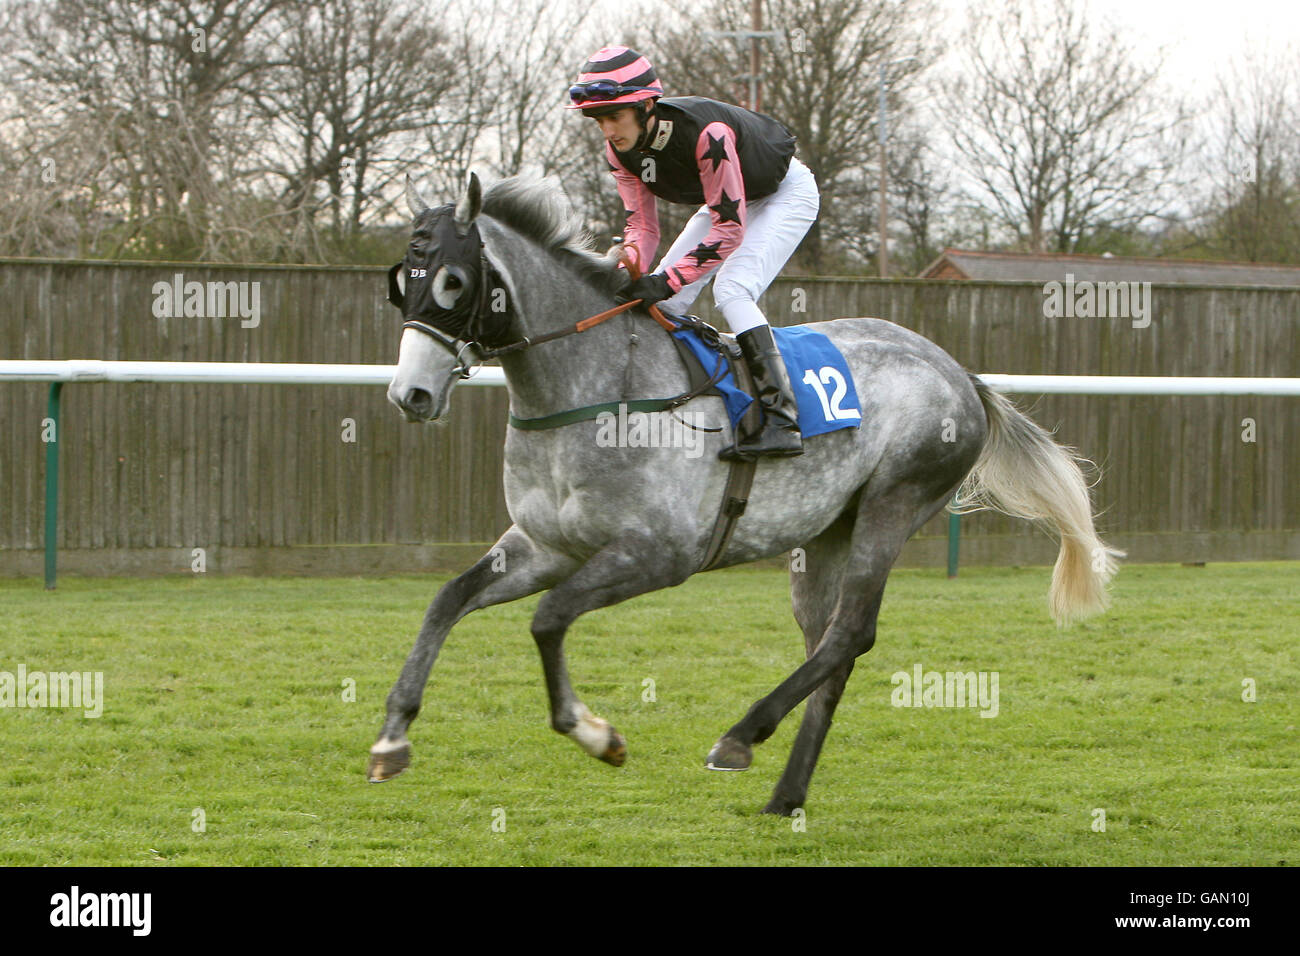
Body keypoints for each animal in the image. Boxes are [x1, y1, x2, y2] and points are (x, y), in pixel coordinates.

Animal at [369, 171, 1123, 815]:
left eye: (453, 281)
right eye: (400, 284)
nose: (410, 394)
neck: (595, 390)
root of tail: (961, 373)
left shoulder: (660, 555)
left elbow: (548, 620)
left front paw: (595, 734)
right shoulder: (545, 545)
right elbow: (447, 600)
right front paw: (393, 737)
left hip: (895, 502)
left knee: (852, 631)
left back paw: (740, 735)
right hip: (828, 532)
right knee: (830, 646)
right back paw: (786, 793)